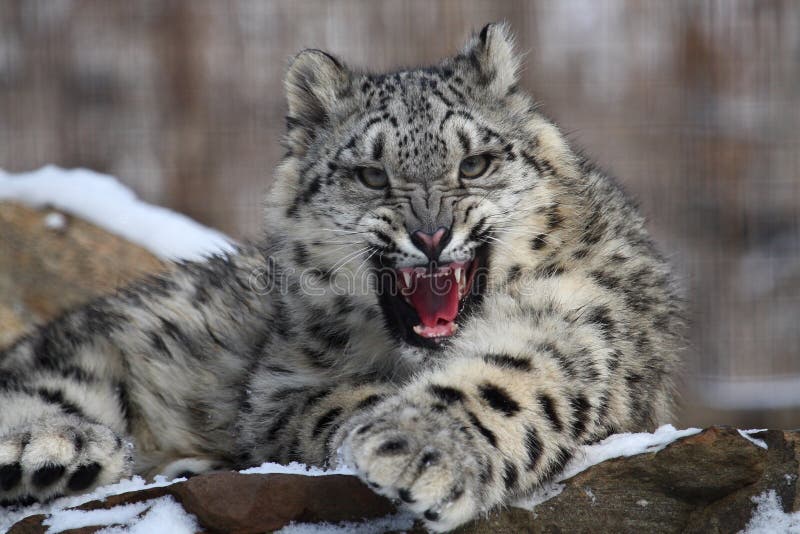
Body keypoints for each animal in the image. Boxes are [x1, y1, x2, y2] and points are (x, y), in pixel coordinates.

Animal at [0, 23, 682, 531]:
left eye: (475, 164)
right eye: (371, 175)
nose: (431, 235)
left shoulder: (580, 319)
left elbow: (512, 380)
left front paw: (421, 449)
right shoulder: (280, 389)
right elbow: (330, 401)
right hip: (97, 355)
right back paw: (55, 451)